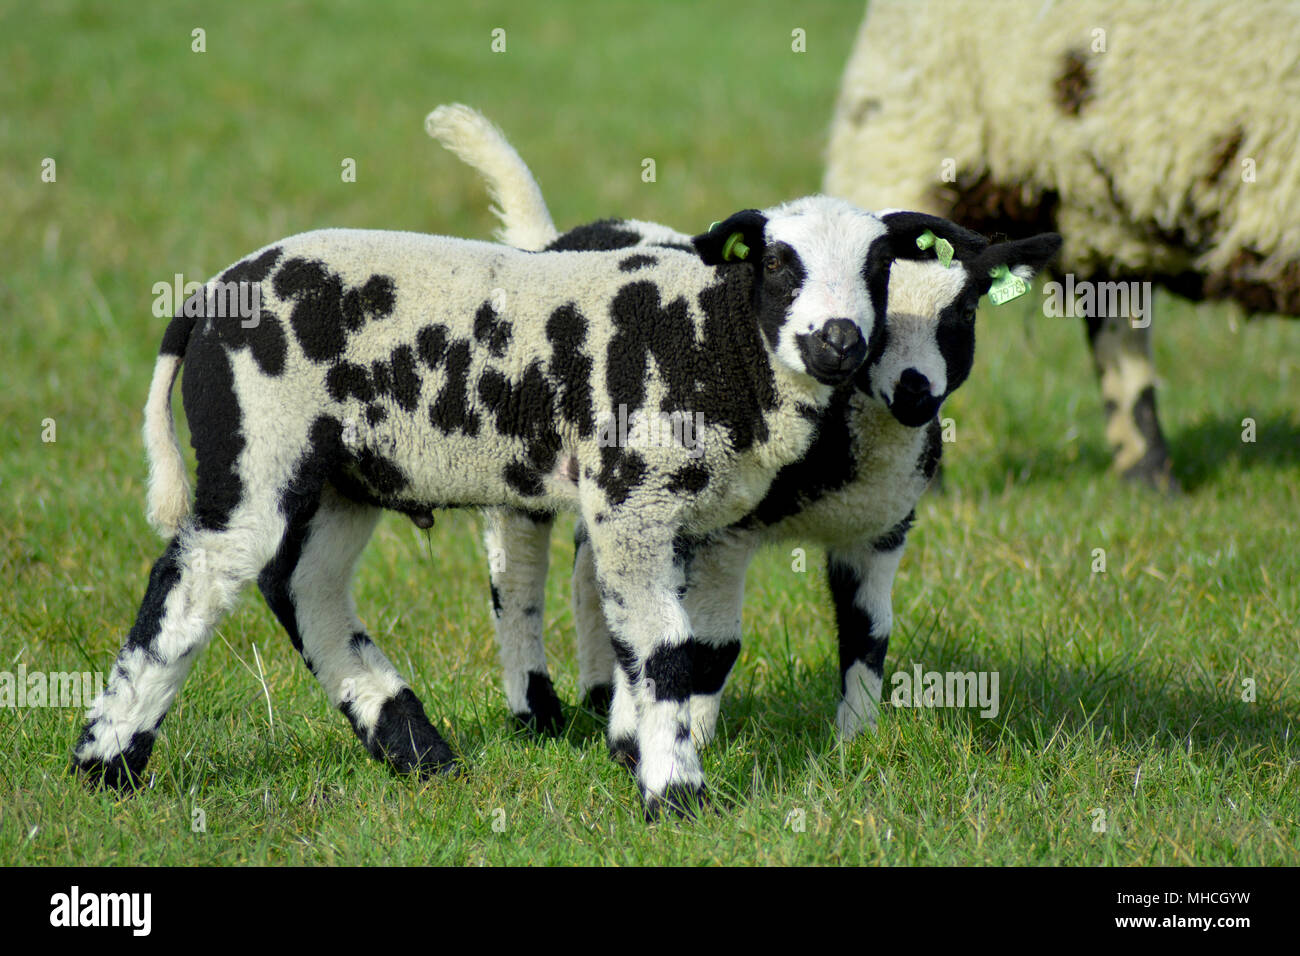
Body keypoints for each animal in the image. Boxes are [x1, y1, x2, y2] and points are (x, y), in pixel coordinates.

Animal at [71, 161, 946, 817]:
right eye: (775, 263)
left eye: (879, 267)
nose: (839, 342)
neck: (711, 338)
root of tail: (203, 301)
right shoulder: (632, 499)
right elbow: (663, 651)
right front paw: (676, 795)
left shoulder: (696, 523)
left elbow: (694, 649)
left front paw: (634, 747)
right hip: (258, 447)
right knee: (192, 580)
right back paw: (106, 765)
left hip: (343, 475)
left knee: (304, 588)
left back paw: (417, 750)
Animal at [427, 105, 1061, 753]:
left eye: (965, 311)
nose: (913, 389)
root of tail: (559, 237)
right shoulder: (723, 530)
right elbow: (713, 649)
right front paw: (694, 738)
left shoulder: (879, 531)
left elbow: (868, 636)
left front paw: (855, 745)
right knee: (517, 584)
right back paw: (536, 713)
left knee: (591, 574)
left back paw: (602, 699)